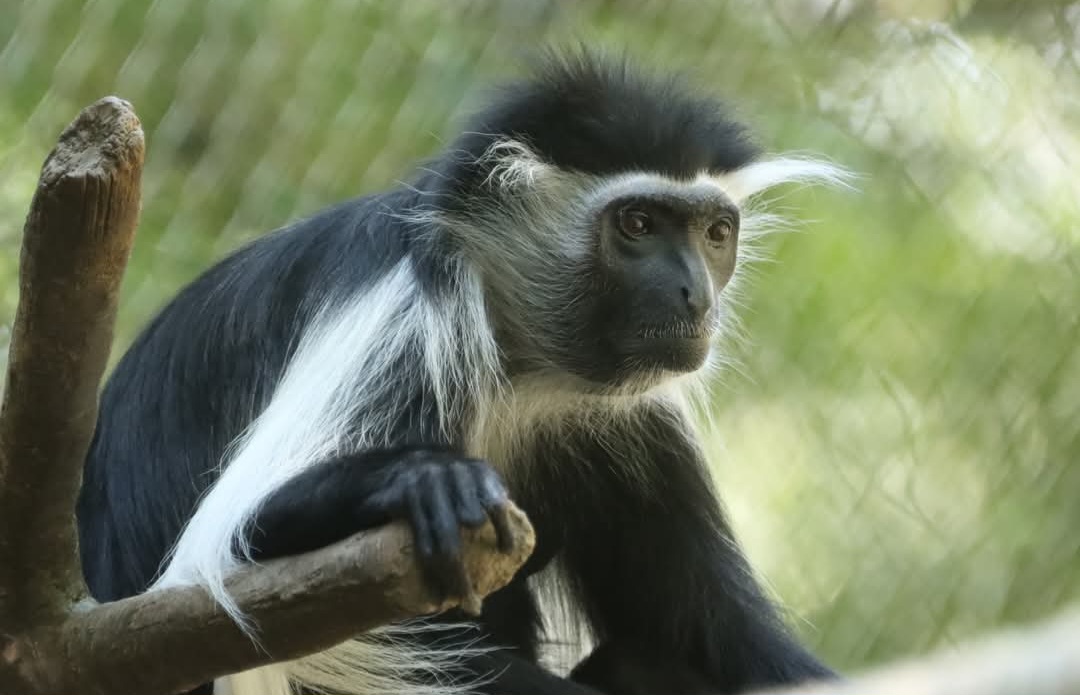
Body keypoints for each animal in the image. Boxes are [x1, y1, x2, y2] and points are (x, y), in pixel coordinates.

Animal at [76, 49, 850, 695]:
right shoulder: (406, 317)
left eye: (715, 234)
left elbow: (721, 633)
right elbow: (226, 560)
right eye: (637, 225)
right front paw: (427, 479)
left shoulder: (633, 424)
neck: (524, 368)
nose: (697, 294)